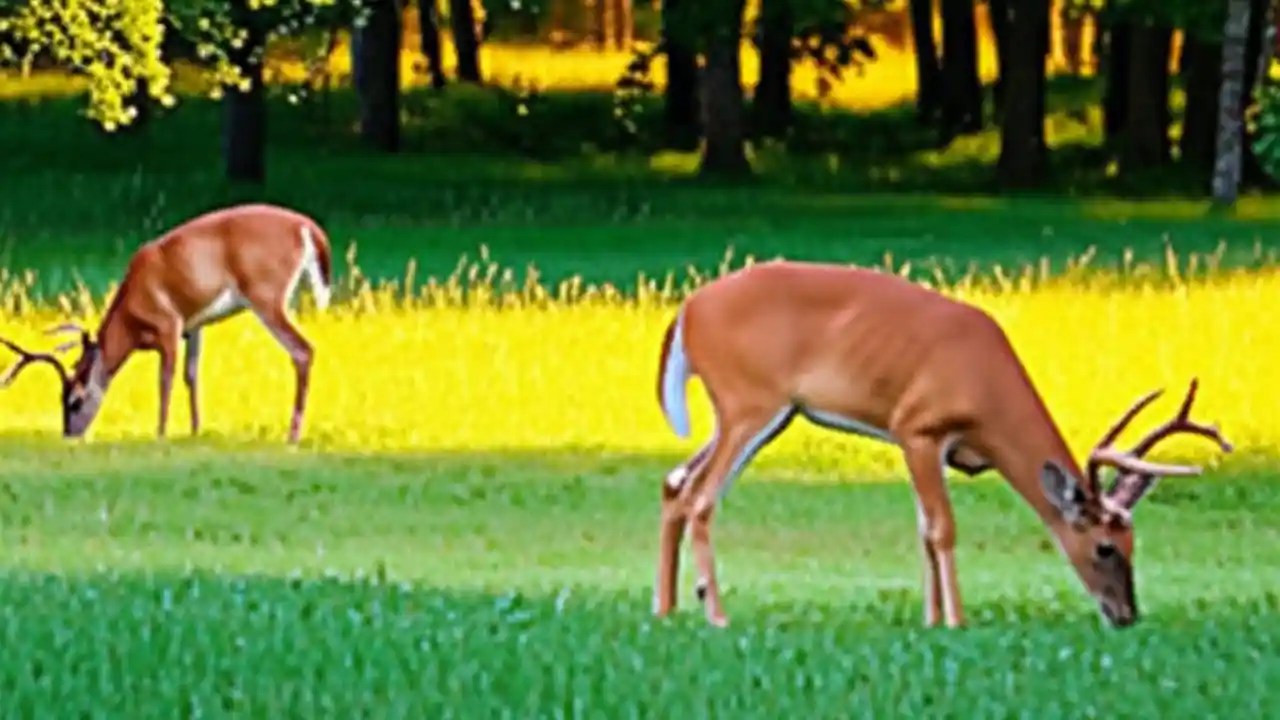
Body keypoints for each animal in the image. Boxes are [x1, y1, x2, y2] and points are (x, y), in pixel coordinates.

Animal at [0, 203, 332, 444]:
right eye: (60, 399)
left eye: (75, 402)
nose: (70, 435)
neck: (131, 314)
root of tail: (307, 228)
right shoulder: (193, 326)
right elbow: (191, 374)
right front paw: (195, 430)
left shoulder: (169, 324)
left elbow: (165, 378)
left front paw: (160, 433)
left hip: (266, 296)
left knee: (302, 350)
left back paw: (292, 436)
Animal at [653, 260, 1233, 629]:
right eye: (1105, 547)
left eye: (1135, 544)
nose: (1127, 616)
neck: (986, 391)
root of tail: (687, 311)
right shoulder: (919, 427)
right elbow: (942, 528)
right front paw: (956, 620)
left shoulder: (930, 444)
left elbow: (922, 529)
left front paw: (931, 620)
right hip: (749, 400)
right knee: (700, 497)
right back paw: (717, 615)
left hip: (755, 413)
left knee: (674, 482)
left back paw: (666, 608)